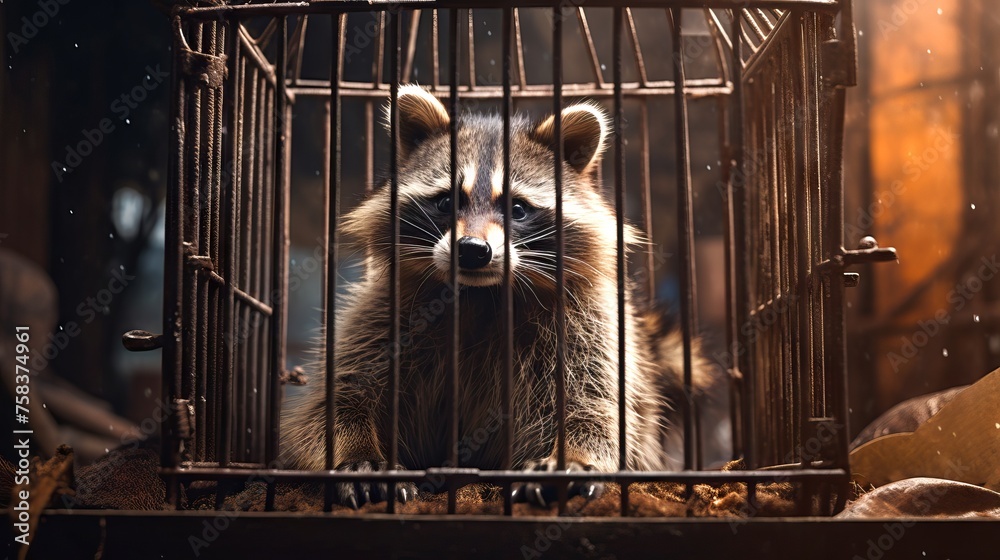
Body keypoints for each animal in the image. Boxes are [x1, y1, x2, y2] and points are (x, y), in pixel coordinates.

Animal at [280, 85, 711, 507]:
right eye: (446, 201)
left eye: (518, 209)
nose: (472, 250)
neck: (481, 295)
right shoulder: (384, 310)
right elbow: (341, 397)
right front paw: (357, 453)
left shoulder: (589, 323)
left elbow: (596, 405)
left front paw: (573, 455)